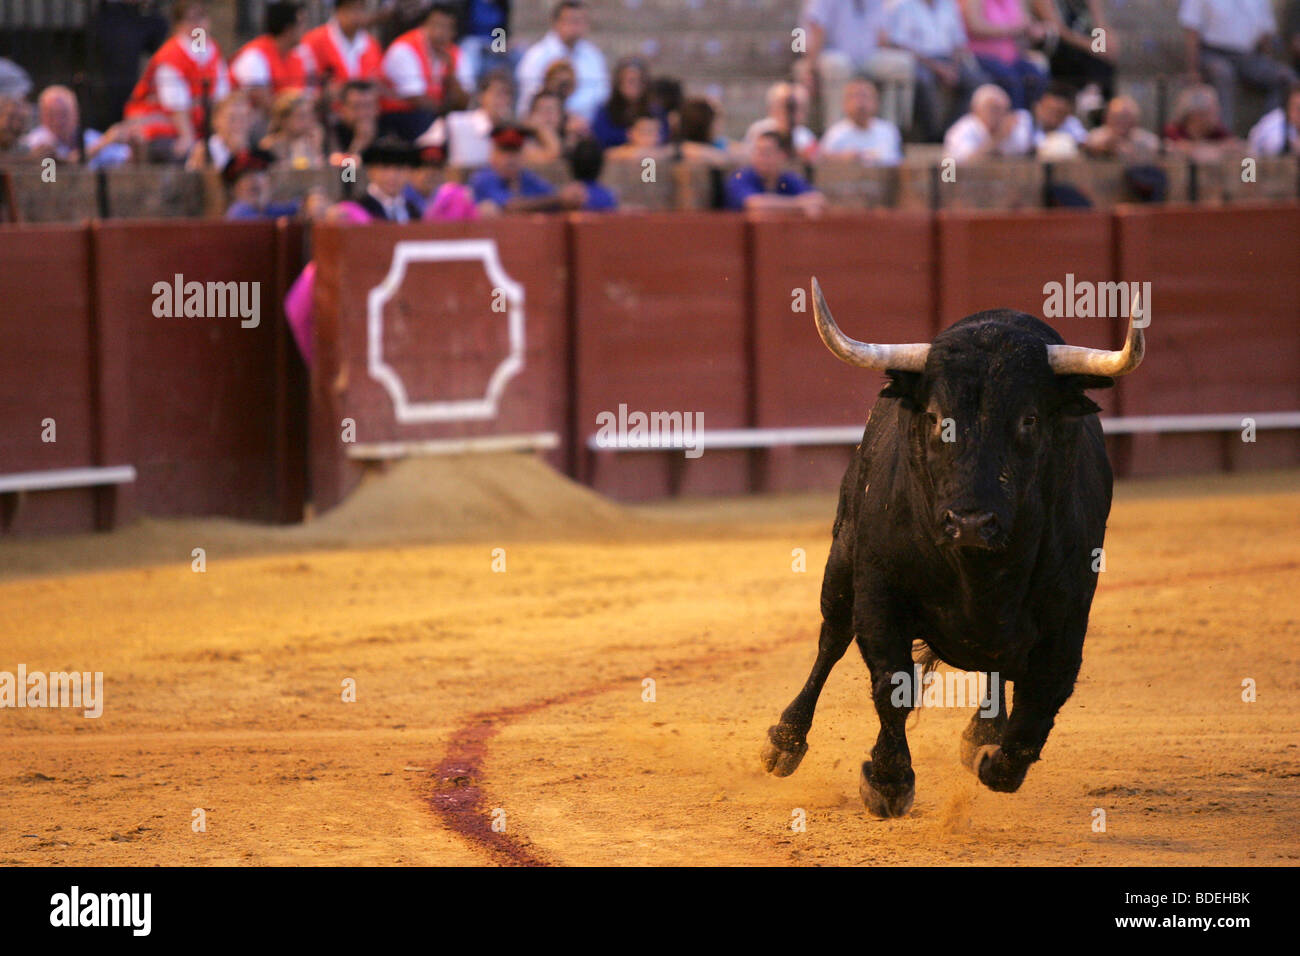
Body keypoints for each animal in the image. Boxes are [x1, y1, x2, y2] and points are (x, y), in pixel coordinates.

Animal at [760, 278, 1145, 817]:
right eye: (936, 417)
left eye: (1029, 419)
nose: (970, 523)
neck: (977, 572)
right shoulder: (878, 589)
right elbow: (891, 682)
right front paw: (888, 783)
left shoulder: (1069, 616)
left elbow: (1039, 704)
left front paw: (991, 755)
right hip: (842, 558)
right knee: (831, 638)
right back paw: (785, 741)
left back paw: (983, 732)